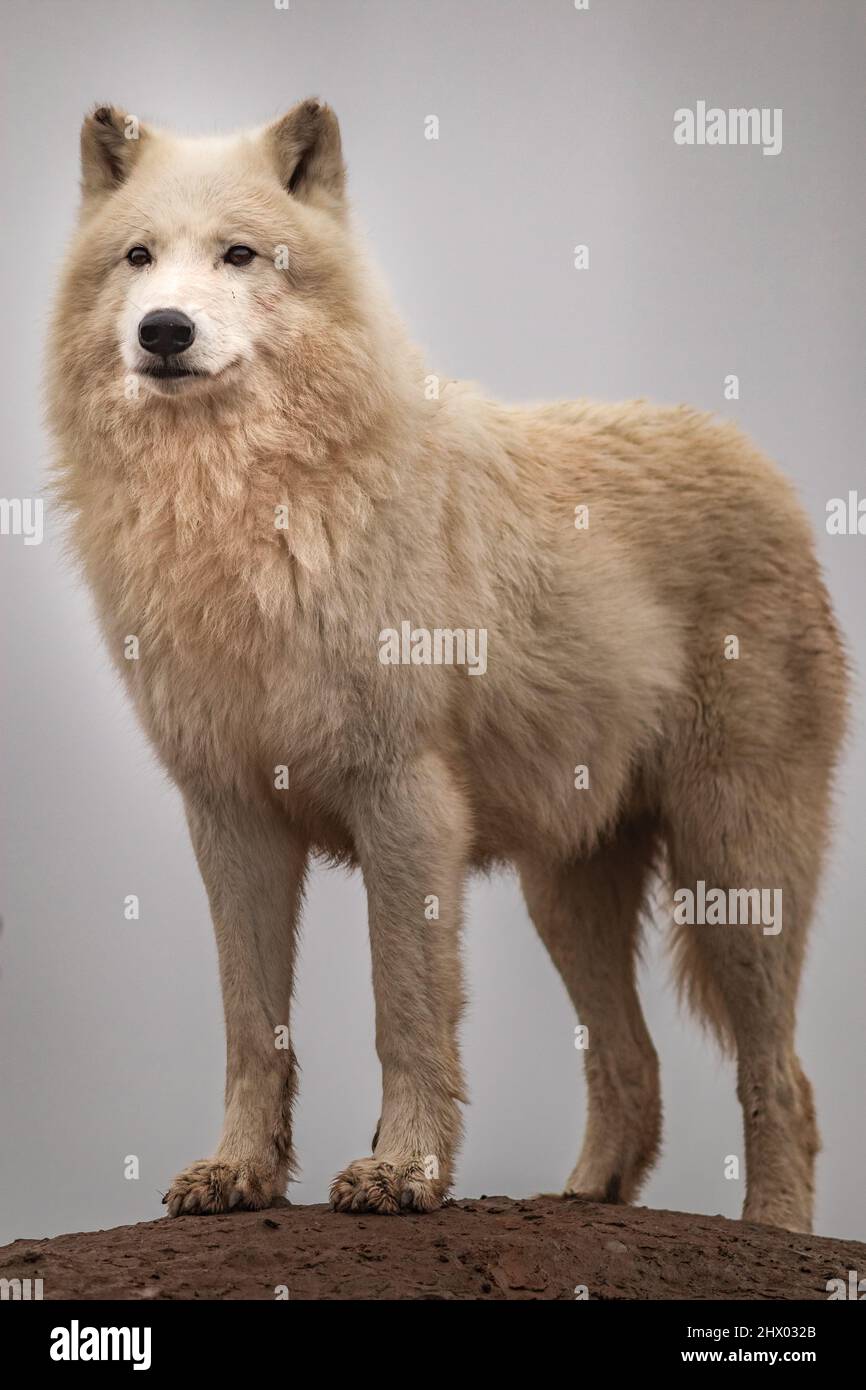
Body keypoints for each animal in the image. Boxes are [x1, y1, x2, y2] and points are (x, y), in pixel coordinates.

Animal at [48, 99, 848, 1232]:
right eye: (138, 257)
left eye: (239, 255)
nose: (164, 329)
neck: (247, 511)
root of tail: (754, 456)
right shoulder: (230, 816)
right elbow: (251, 1023)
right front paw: (239, 1173)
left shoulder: (406, 802)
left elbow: (407, 1009)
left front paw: (403, 1172)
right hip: (566, 892)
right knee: (632, 1063)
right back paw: (581, 1199)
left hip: (735, 872)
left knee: (780, 1076)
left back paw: (772, 1228)